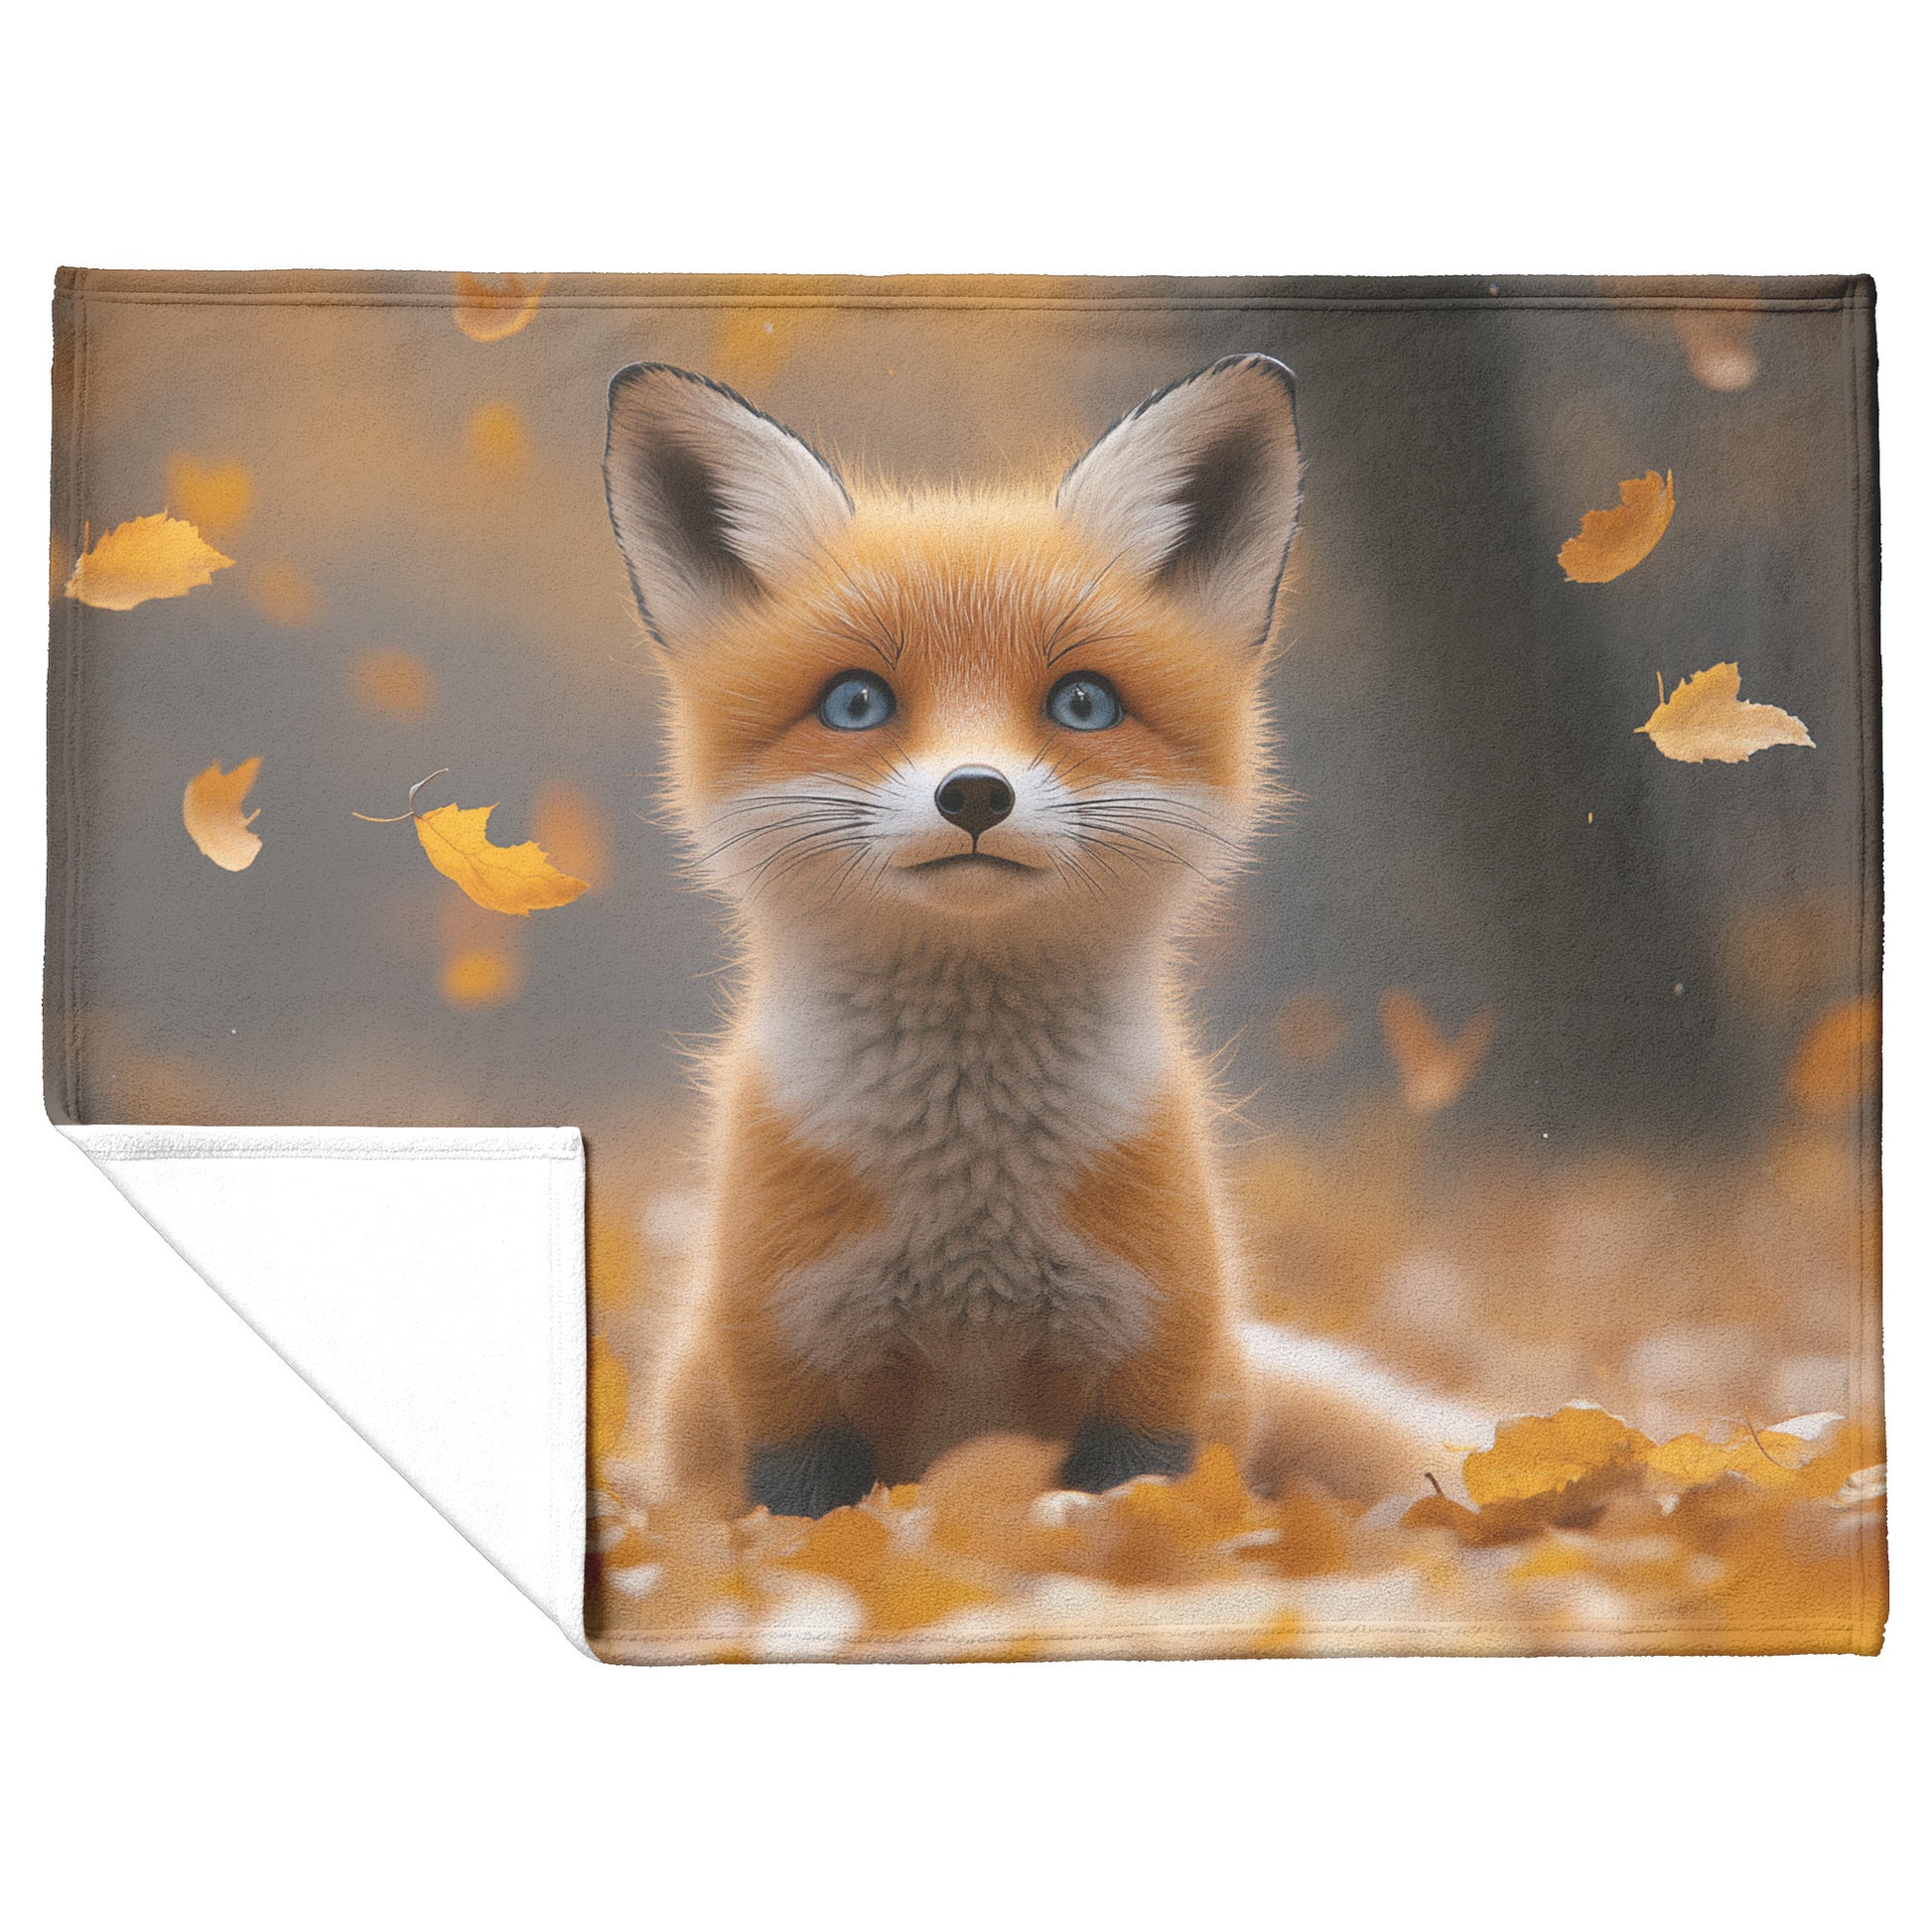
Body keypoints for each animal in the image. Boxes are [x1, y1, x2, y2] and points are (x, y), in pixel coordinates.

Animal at [603, 353, 1479, 1518]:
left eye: (1081, 703)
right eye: (854, 701)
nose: (975, 792)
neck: (971, 1193)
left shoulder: (1154, 1370)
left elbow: (1139, 1504)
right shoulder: (784, 1380)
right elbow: (803, 1520)